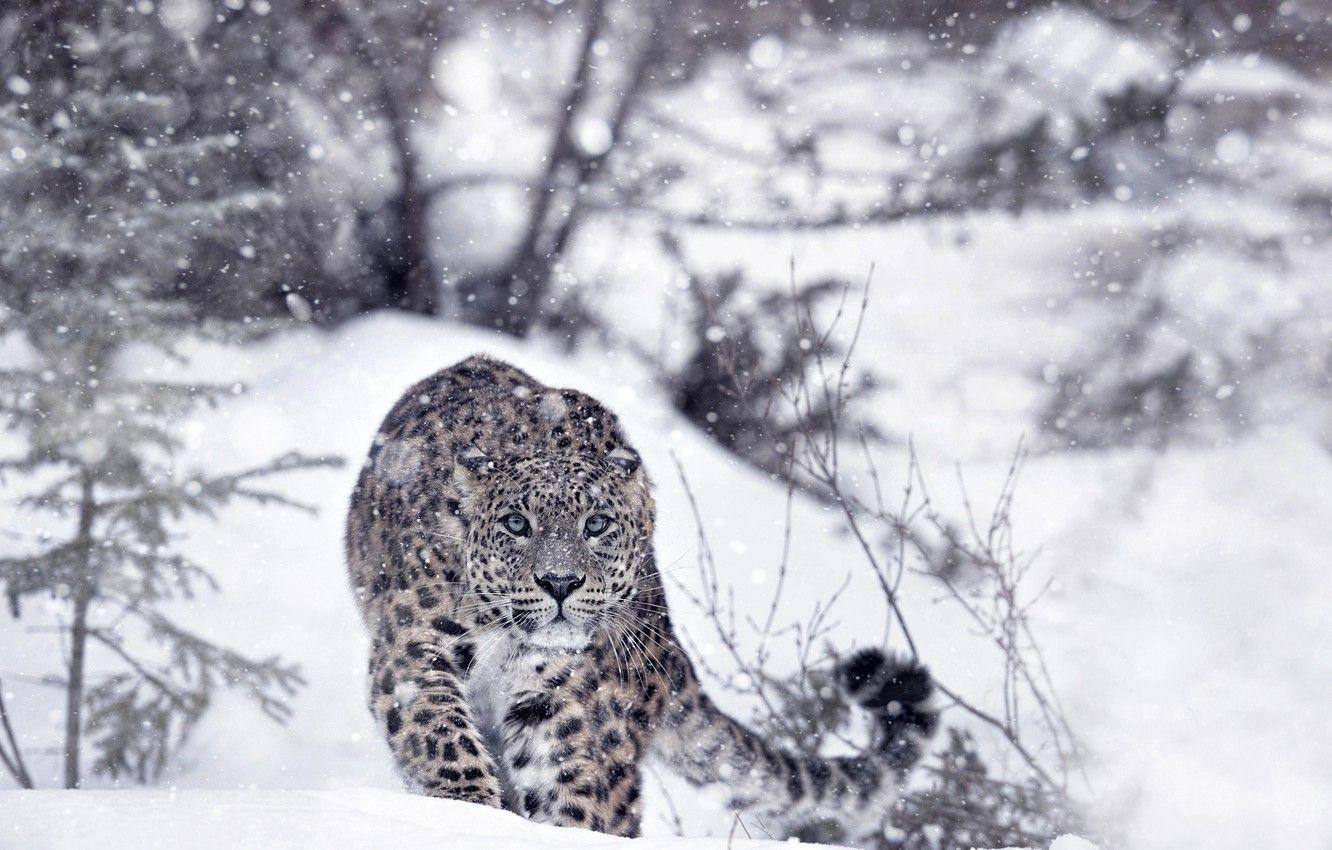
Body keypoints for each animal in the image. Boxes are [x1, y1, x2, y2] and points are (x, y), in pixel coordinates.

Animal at [345, 354, 937, 842]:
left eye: (596, 524)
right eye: (516, 524)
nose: (560, 582)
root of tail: (668, 645)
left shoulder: (557, 695)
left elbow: (568, 780)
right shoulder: (415, 645)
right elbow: (439, 729)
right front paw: (466, 806)